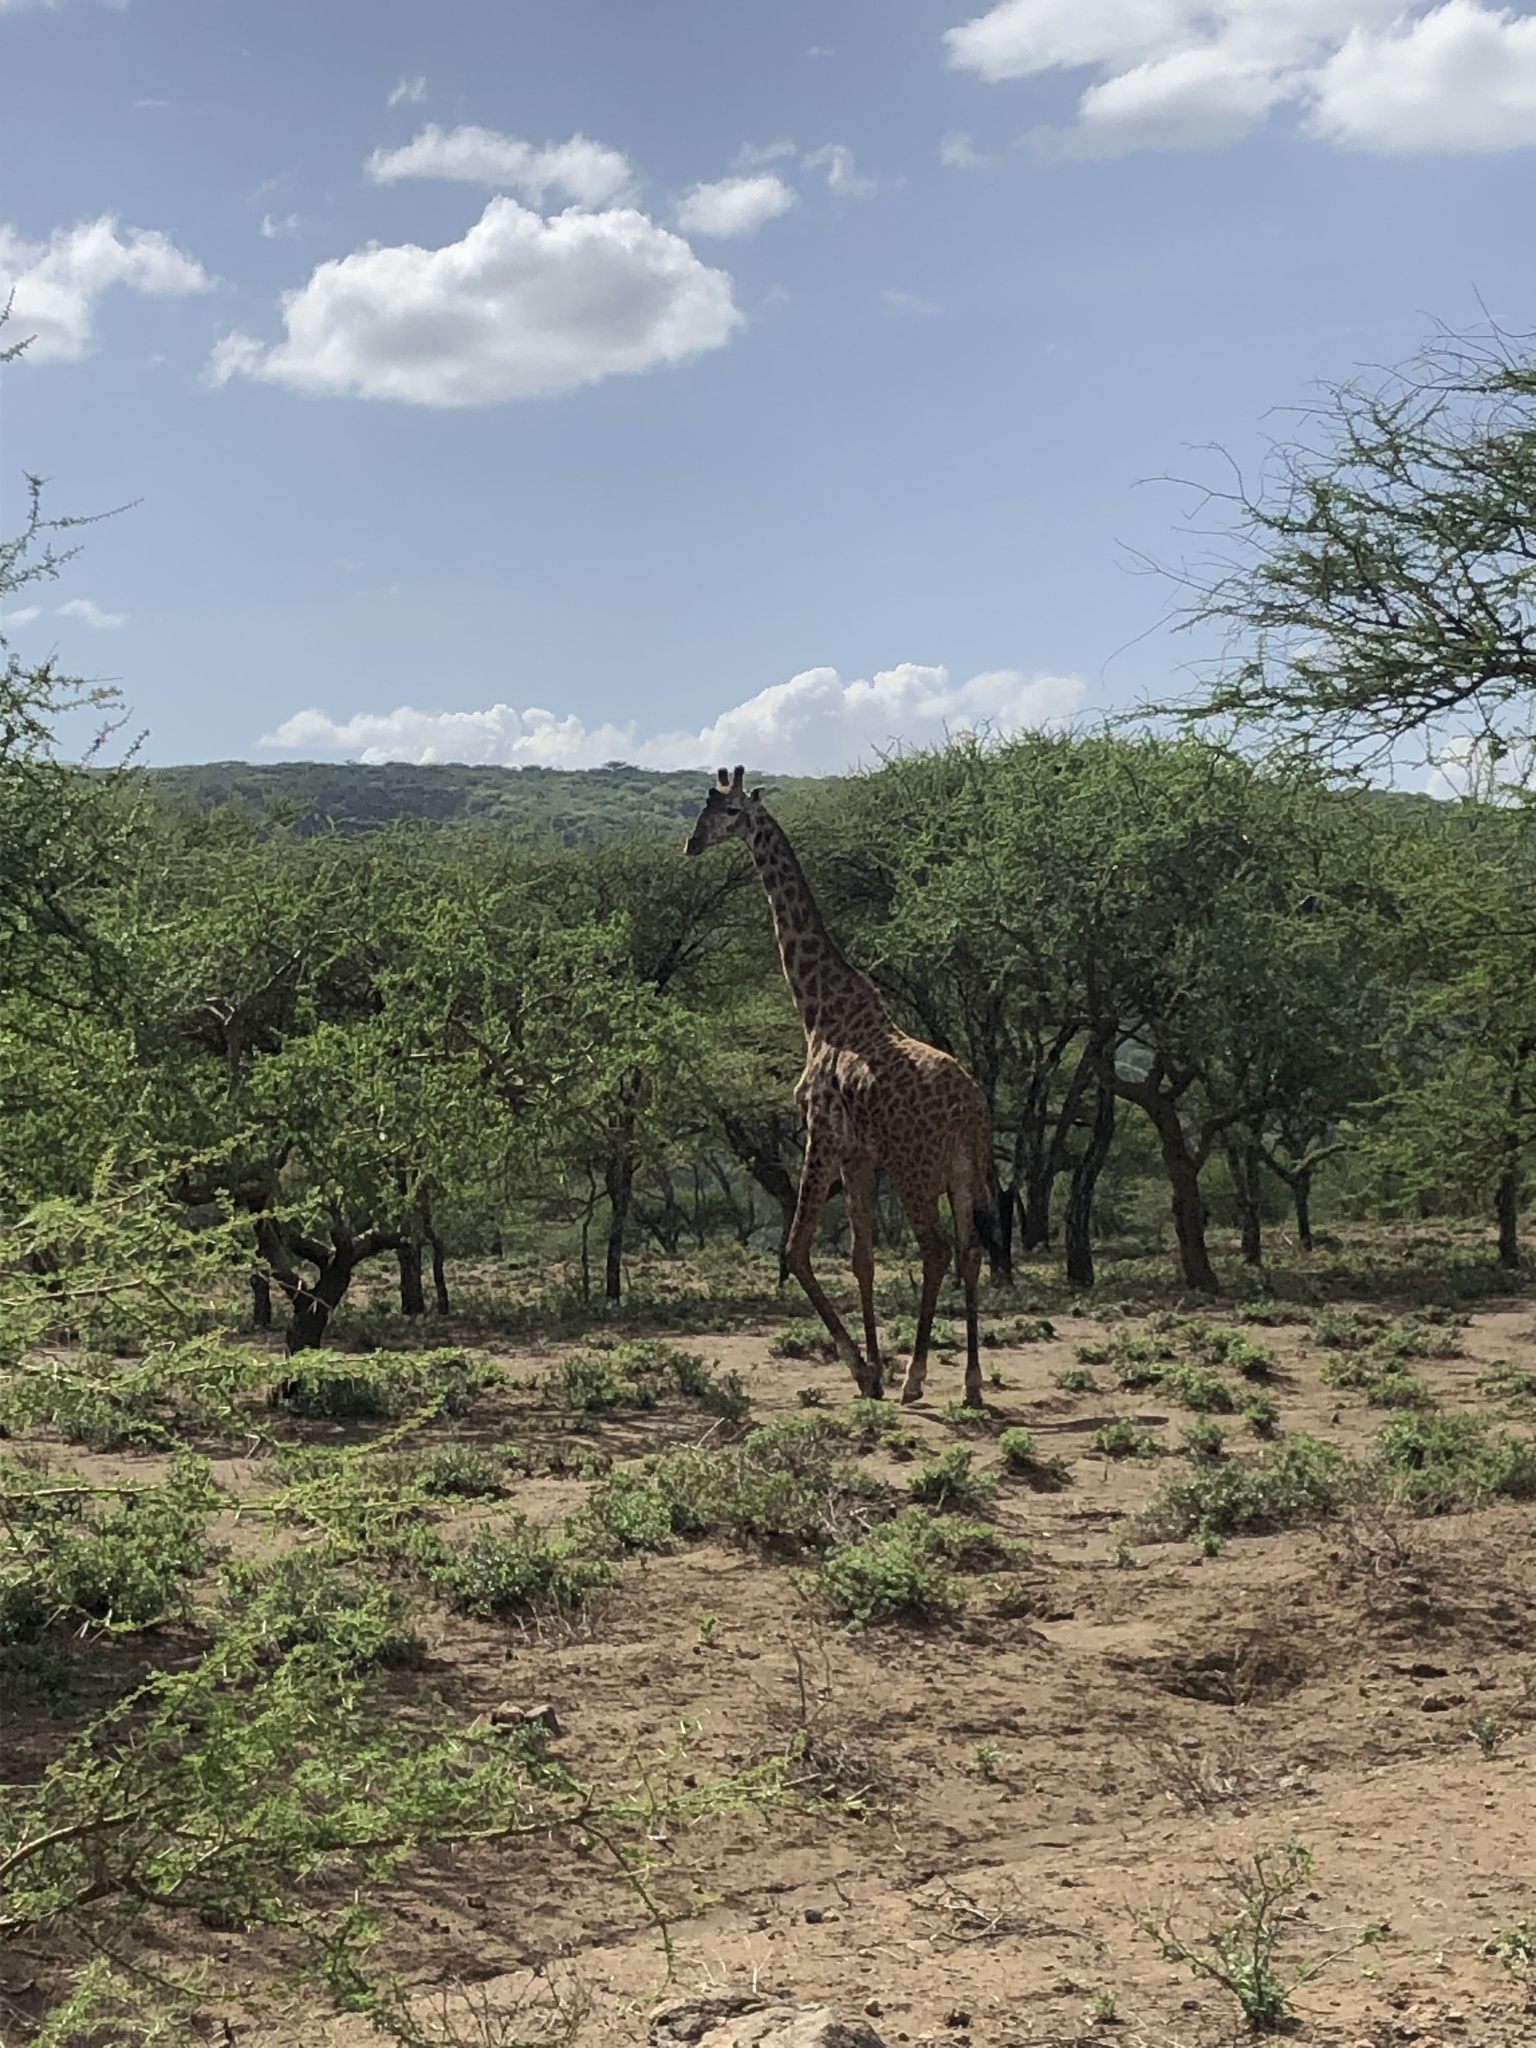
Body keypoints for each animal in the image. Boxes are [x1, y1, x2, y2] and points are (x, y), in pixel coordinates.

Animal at [686, 766, 997, 1405]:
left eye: (728, 812)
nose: (692, 843)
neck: (818, 1009)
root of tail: (971, 1107)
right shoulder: (857, 1153)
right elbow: (861, 1258)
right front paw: (873, 1366)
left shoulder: (820, 1132)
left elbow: (796, 1248)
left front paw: (865, 1370)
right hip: (965, 1167)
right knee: (970, 1250)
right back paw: (972, 1383)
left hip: (915, 1165)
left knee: (936, 1249)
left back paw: (916, 1379)